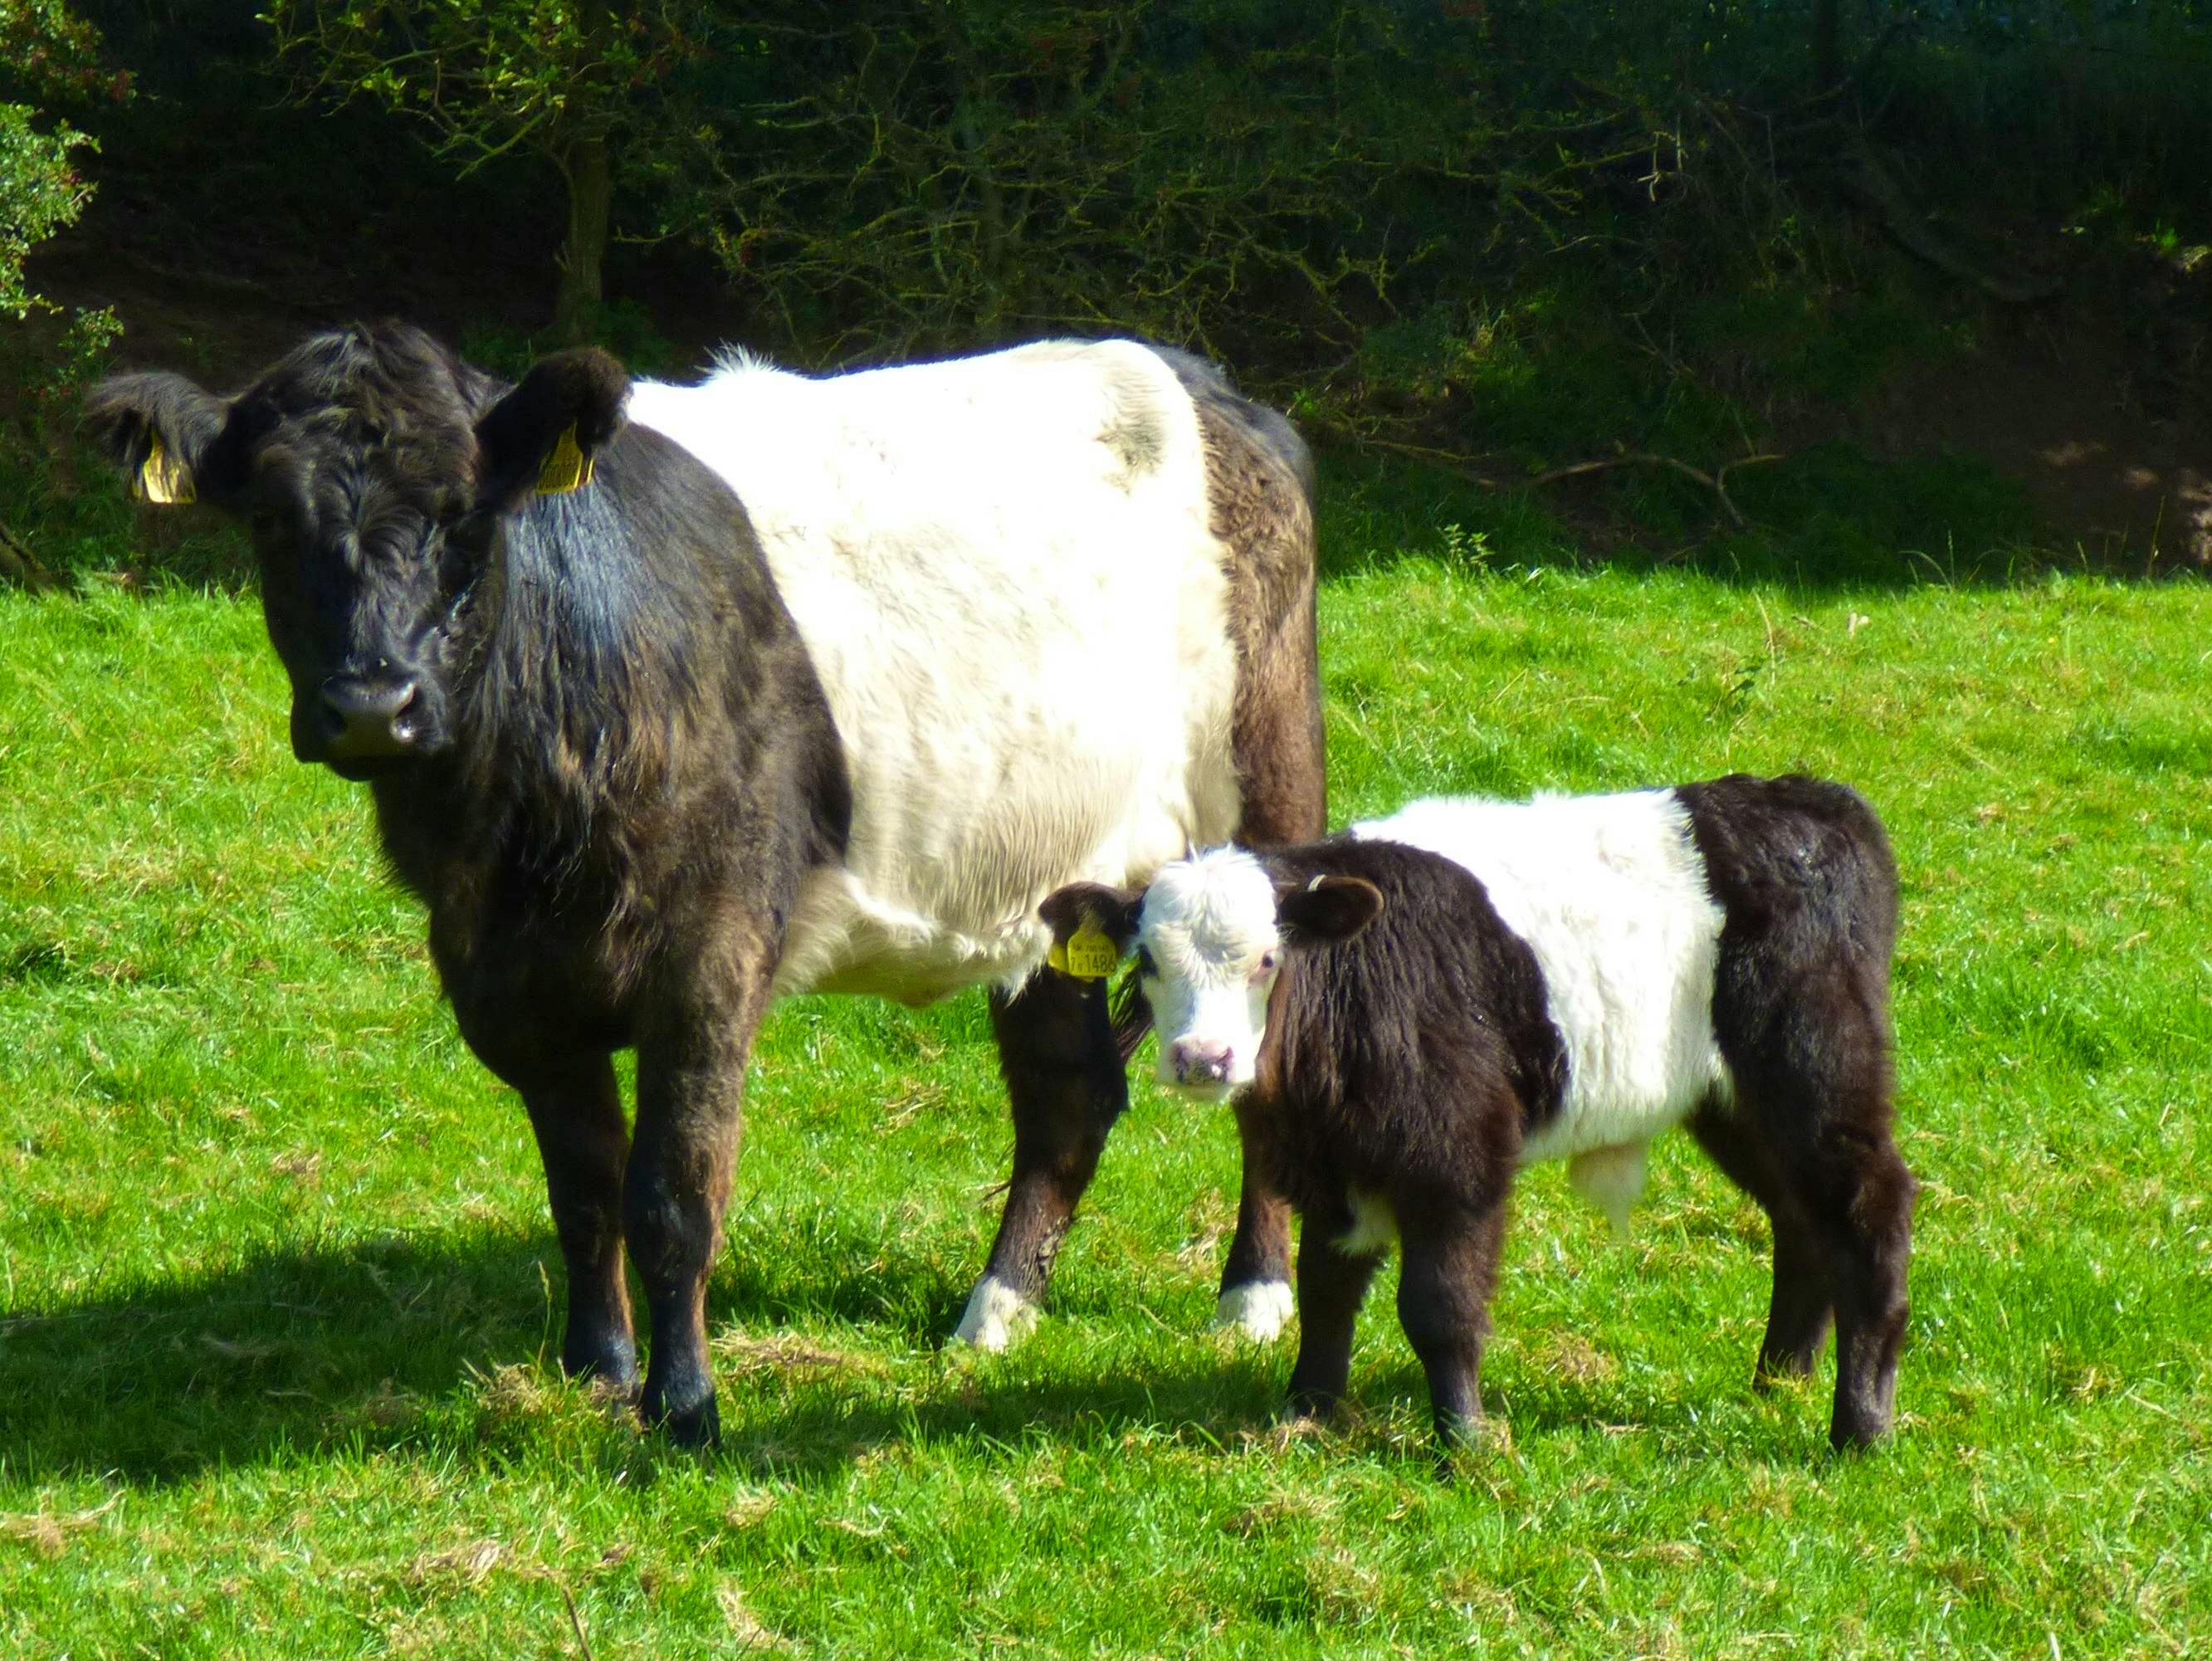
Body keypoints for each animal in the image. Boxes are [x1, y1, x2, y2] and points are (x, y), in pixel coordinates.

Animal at [85, 322, 1325, 1445]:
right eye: (270, 522)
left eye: (462, 514)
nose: (369, 706)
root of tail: (1205, 382)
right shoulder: (502, 980)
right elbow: (585, 1186)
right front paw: (594, 1371)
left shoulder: (707, 957)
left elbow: (673, 1192)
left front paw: (684, 1410)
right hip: (1048, 879)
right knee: (1067, 1091)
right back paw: (994, 1313)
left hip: (1266, 794)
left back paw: (1251, 1296)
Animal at [1041, 775, 1916, 1452]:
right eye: (1148, 963)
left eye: (1265, 959)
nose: (1203, 1059)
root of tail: (1813, 800)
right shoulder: (1332, 1168)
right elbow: (1327, 1287)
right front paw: (1307, 1411)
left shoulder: (1455, 1159)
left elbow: (1439, 1306)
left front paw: (1462, 1441)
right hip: (1736, 1106)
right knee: (1801, 1221)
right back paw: (1780, 1380)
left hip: (1816, 1075)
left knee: (1870, 1208)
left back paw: (1859, 1428)